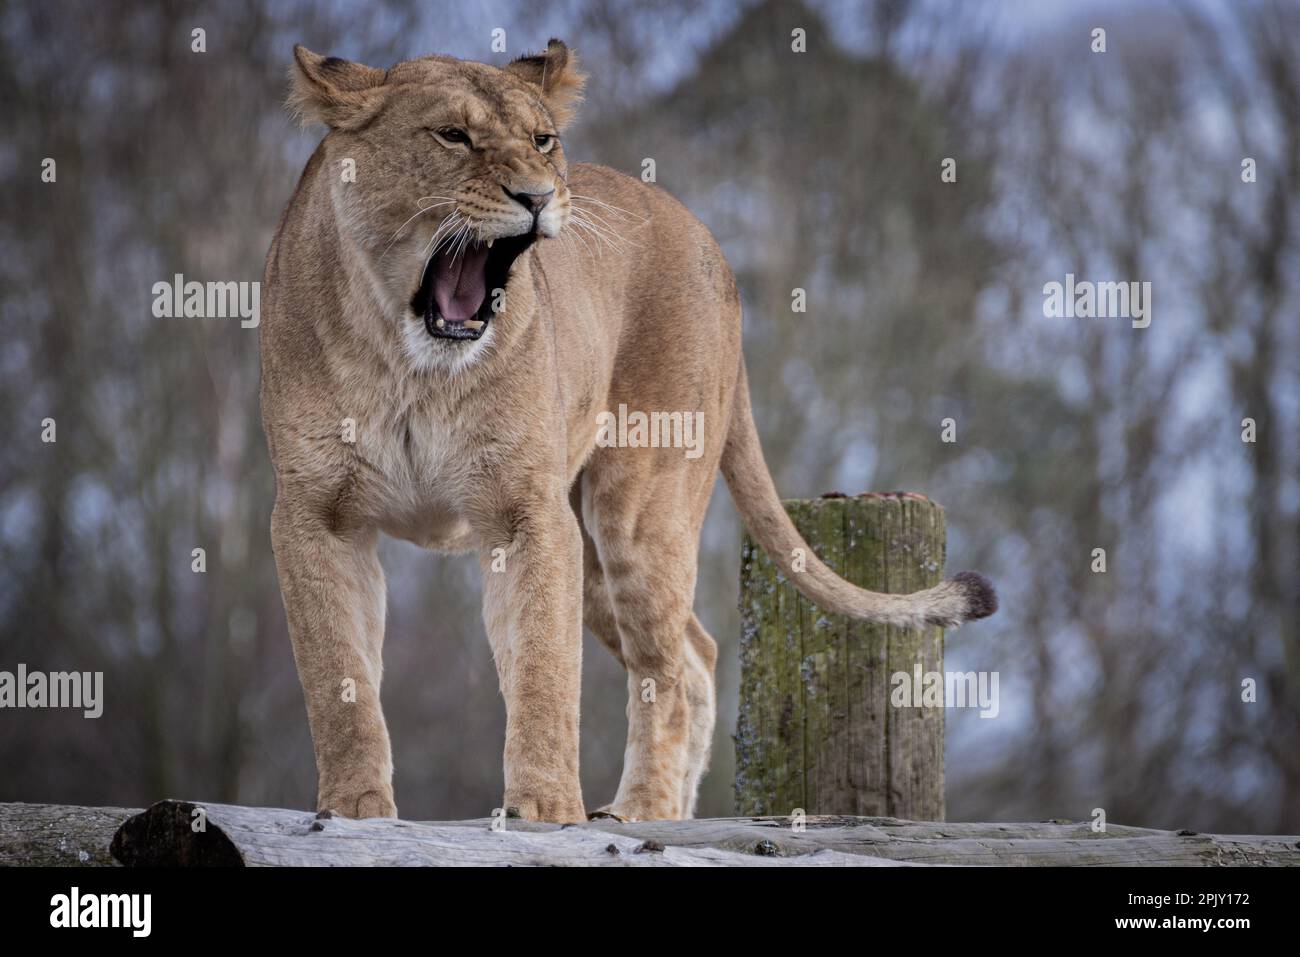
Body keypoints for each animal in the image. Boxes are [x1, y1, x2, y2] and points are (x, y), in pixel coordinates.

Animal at [259, 39, 997, 823]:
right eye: (451, 136)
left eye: (542, 140)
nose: (537, 197)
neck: (411, 367)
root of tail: (705, 235)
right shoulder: (316, 514)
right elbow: (338, 677)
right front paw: (354, 807)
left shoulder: (527, 514)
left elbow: (545, 670)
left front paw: (545, 808)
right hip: (590, 552)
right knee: (696, 655)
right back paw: (660, 810)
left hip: (638, 509)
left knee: (668, 672)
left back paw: (639, 812)